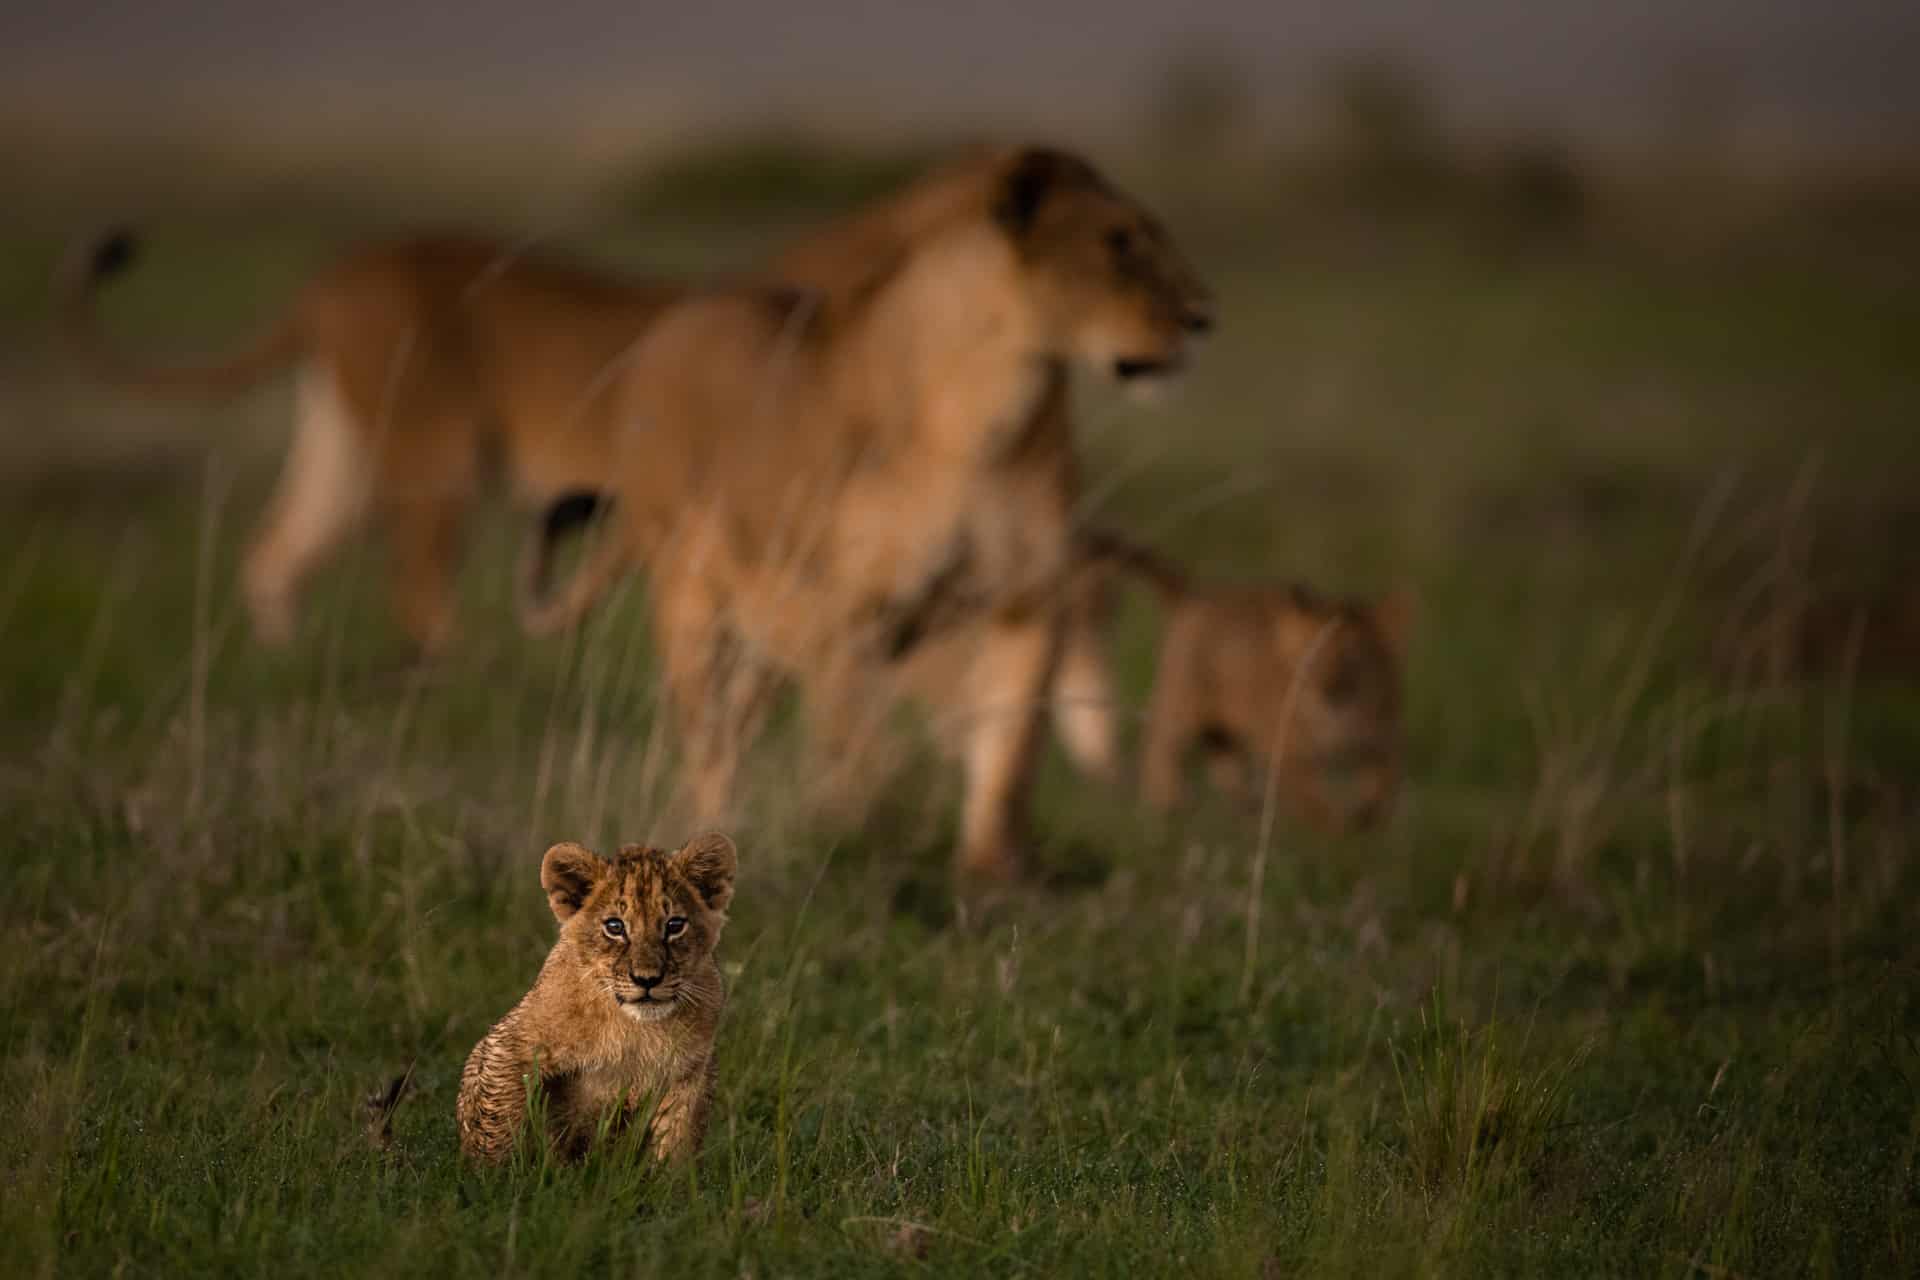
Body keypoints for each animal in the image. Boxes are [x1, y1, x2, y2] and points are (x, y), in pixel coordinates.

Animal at [456, 832, 737, 1165]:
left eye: (674, 925)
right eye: (615, 927)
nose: (647, 979)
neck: (636, 1028)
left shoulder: (691, 1073)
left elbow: (677, 1142)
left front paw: (672, 1179)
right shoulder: (508, 1044)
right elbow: (496, 1120)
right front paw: (487, 1174)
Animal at [522, 147, 1212, 878]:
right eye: (1119, 244)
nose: (1204, 317)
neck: (995, 411)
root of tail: (667, 332)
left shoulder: (1026, 601)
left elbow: (1008, 753)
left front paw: (990, 876)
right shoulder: (847, 617)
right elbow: (853, 756)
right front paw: (847, 850)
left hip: (767, 625)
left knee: (736, 724)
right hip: (691, 595)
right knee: (710, 738)